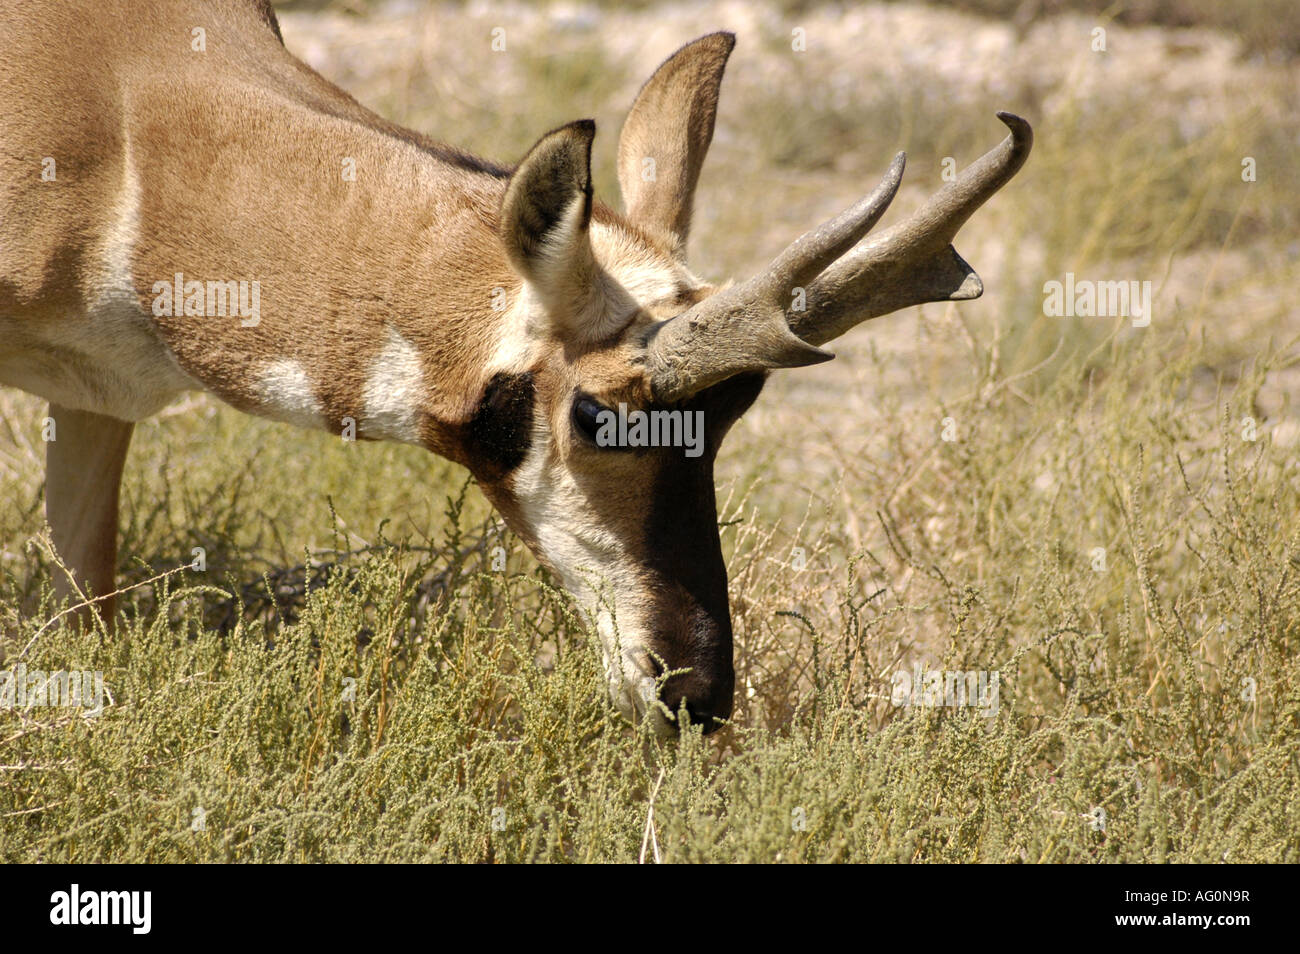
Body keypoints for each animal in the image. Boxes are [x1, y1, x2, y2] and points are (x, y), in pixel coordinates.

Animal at [0, 0, 1031, 735]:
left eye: (736, 412)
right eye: (596, 414)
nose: (697, 695)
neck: (129, 93)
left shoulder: (96, 402)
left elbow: (83, 613)